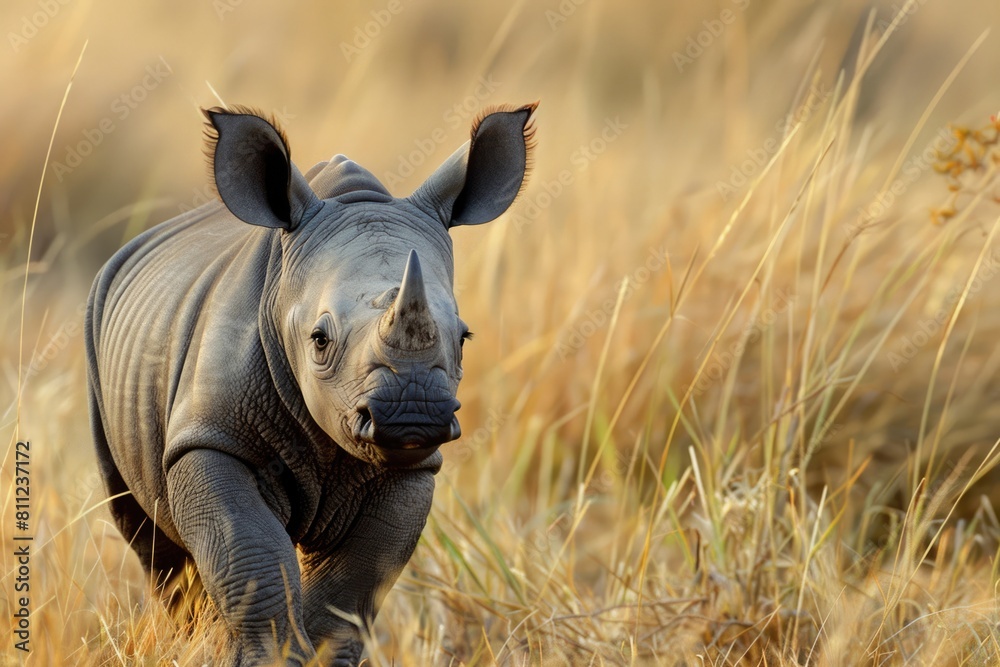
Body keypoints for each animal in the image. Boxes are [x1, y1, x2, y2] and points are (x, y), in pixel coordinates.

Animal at [85, 101, 537, 666]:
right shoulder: (211, 440)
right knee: (152, 542)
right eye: (319, 340)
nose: (413, 415)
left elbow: (355, 583)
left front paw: (317, 656)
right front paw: (266, 659)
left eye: (464, 337)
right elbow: (251, 555)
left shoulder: (413, 470)